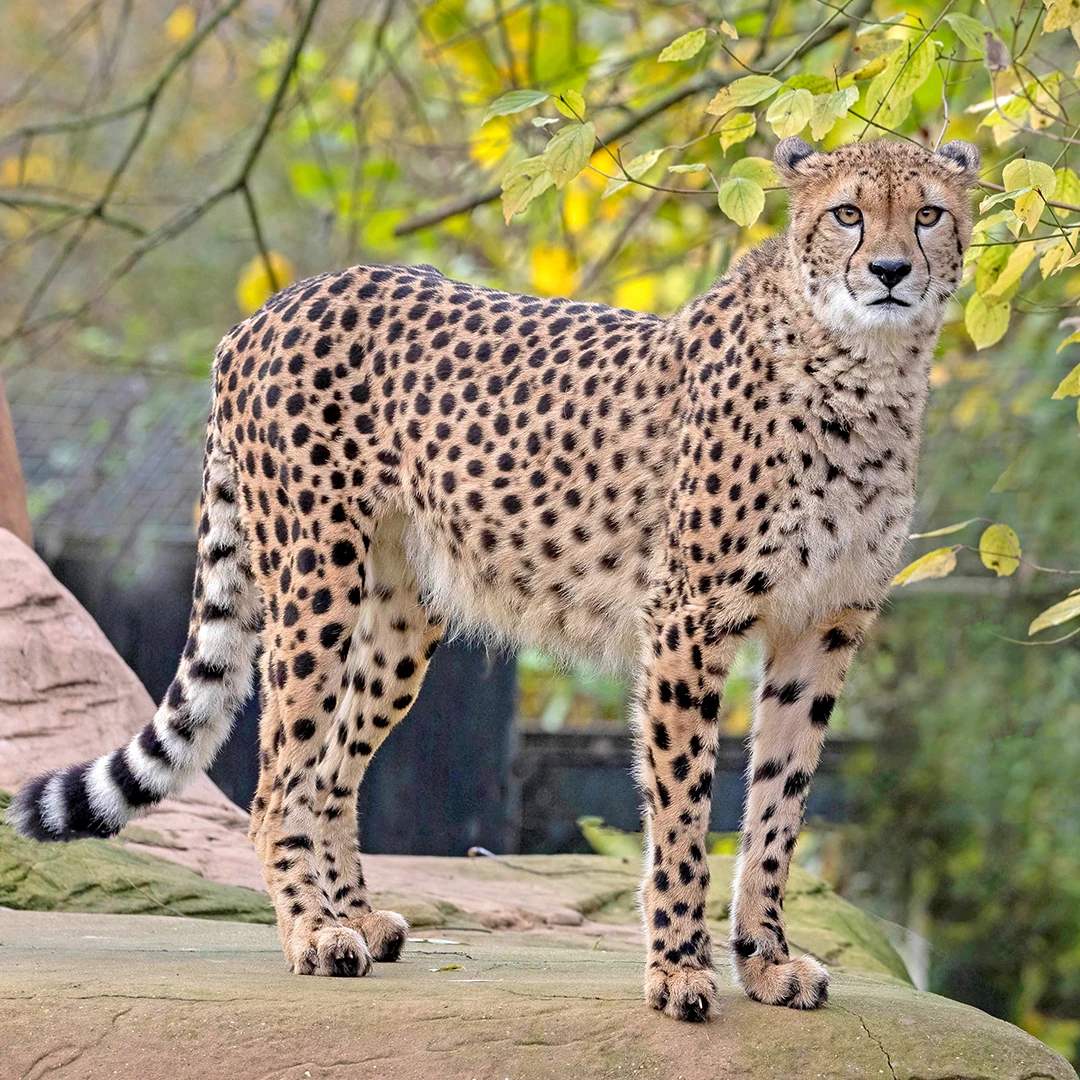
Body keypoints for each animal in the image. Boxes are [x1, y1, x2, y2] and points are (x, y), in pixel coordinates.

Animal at [9, 135, 979, 1022]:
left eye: (929, 213)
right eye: (847, 213)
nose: (890, 270)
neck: (863, 373)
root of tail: (270, 306)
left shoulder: (822, 631)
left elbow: (780, 808)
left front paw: (768, 961)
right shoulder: (688, 621)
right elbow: (684, 809)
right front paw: (678, 971)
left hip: (403, 616)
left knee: (330, 767)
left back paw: (357, 917)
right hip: (314, 581)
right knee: (278, 777)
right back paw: (312, 933)